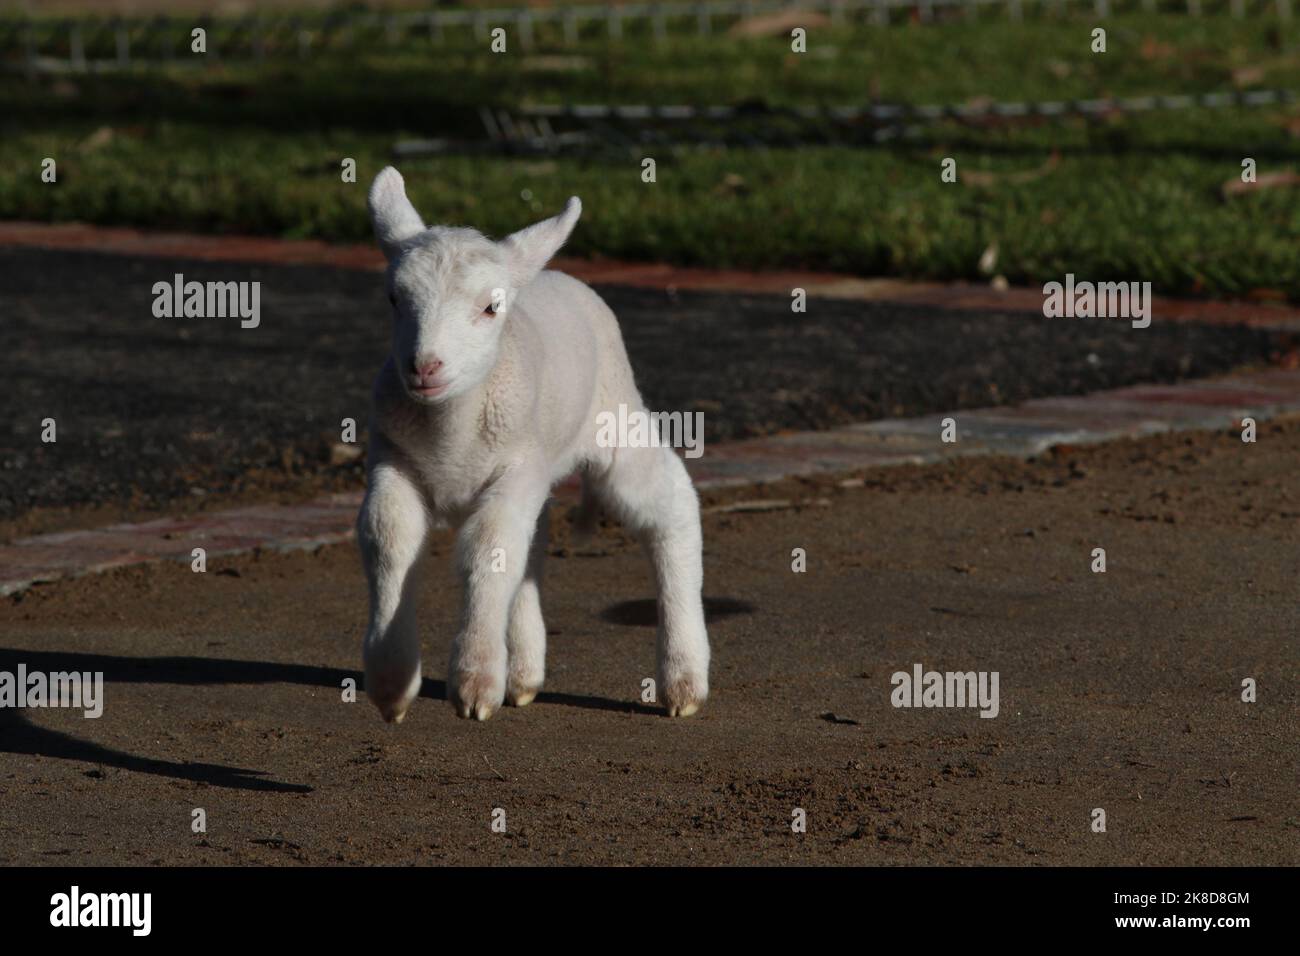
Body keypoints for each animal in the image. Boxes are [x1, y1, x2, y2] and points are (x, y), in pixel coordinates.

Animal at [357, 167, 710, 723]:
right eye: (394, 298)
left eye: (490, 307)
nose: (424, 366)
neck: (450, 435)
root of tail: (553, 274)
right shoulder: (392, 459)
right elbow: (390, 537)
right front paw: (392, 685)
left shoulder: (516, 465)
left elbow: (490, 547)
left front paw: (476, 680)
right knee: (534, 542)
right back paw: (523, 675)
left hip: (614, 415)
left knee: (670, 504)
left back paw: (684, 680)